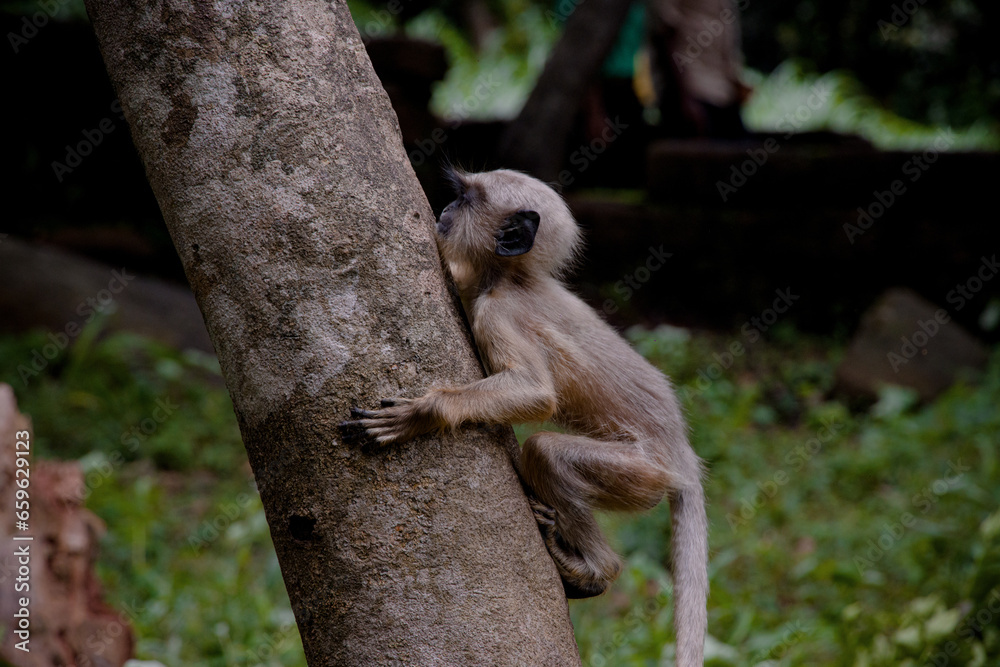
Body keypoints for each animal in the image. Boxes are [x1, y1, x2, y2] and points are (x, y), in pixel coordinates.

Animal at [342, 168, 708, 666]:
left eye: (464, 198)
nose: (444, 210)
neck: (512, 278)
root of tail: (682, 451)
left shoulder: (495, 311)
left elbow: (536, 394)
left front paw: (420, 414)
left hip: (643, 473)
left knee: (546, 449)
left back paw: (597, 567)